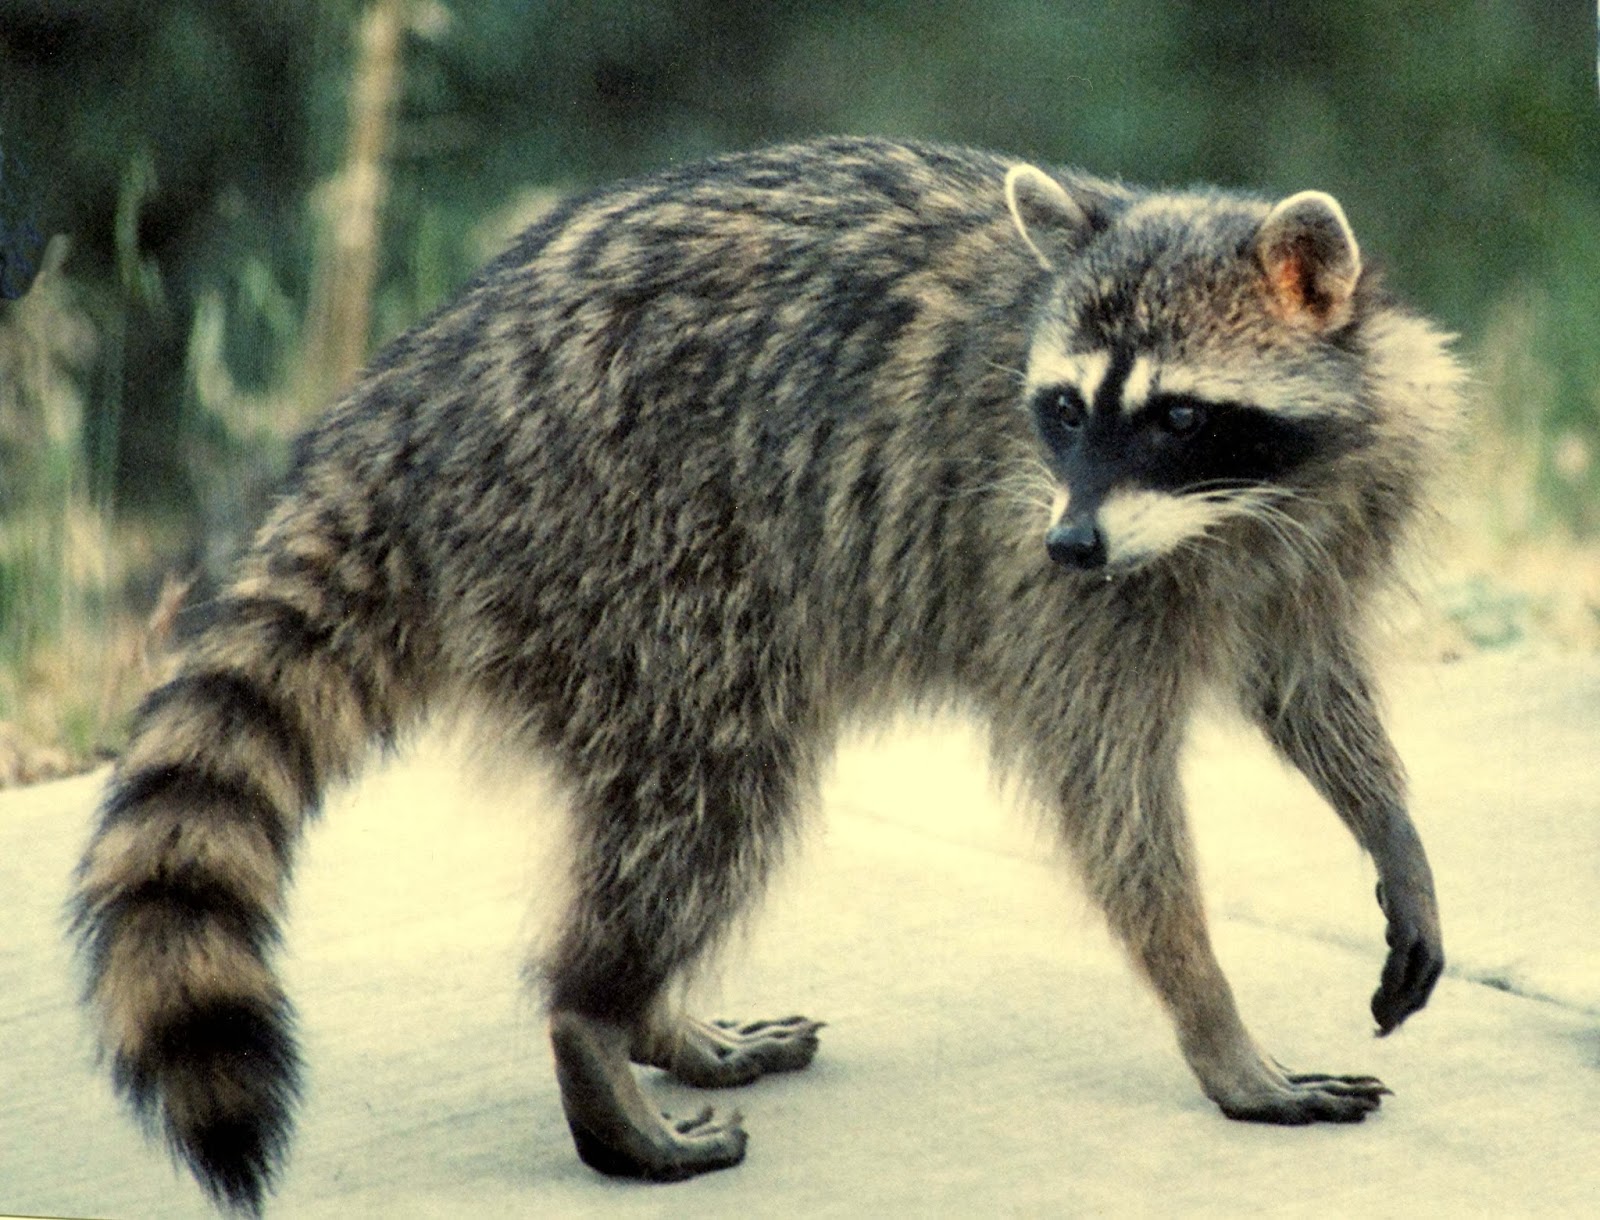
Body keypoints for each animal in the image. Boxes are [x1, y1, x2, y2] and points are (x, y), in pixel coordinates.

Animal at [72, 136, 1461, 1212]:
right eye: (1065, 408)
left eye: (1174, 414)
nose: (1070, 543)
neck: (1229, 508)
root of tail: (411, 403)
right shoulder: (1043, 571)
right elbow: (1113, 800)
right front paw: (1211, 1017)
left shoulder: (1325, 515)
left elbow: (1307, 682)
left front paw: (1392, 832)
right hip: (627, 549)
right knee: (710, 787)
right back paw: (593, 1018)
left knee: (671, 805)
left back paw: (650, 1015)